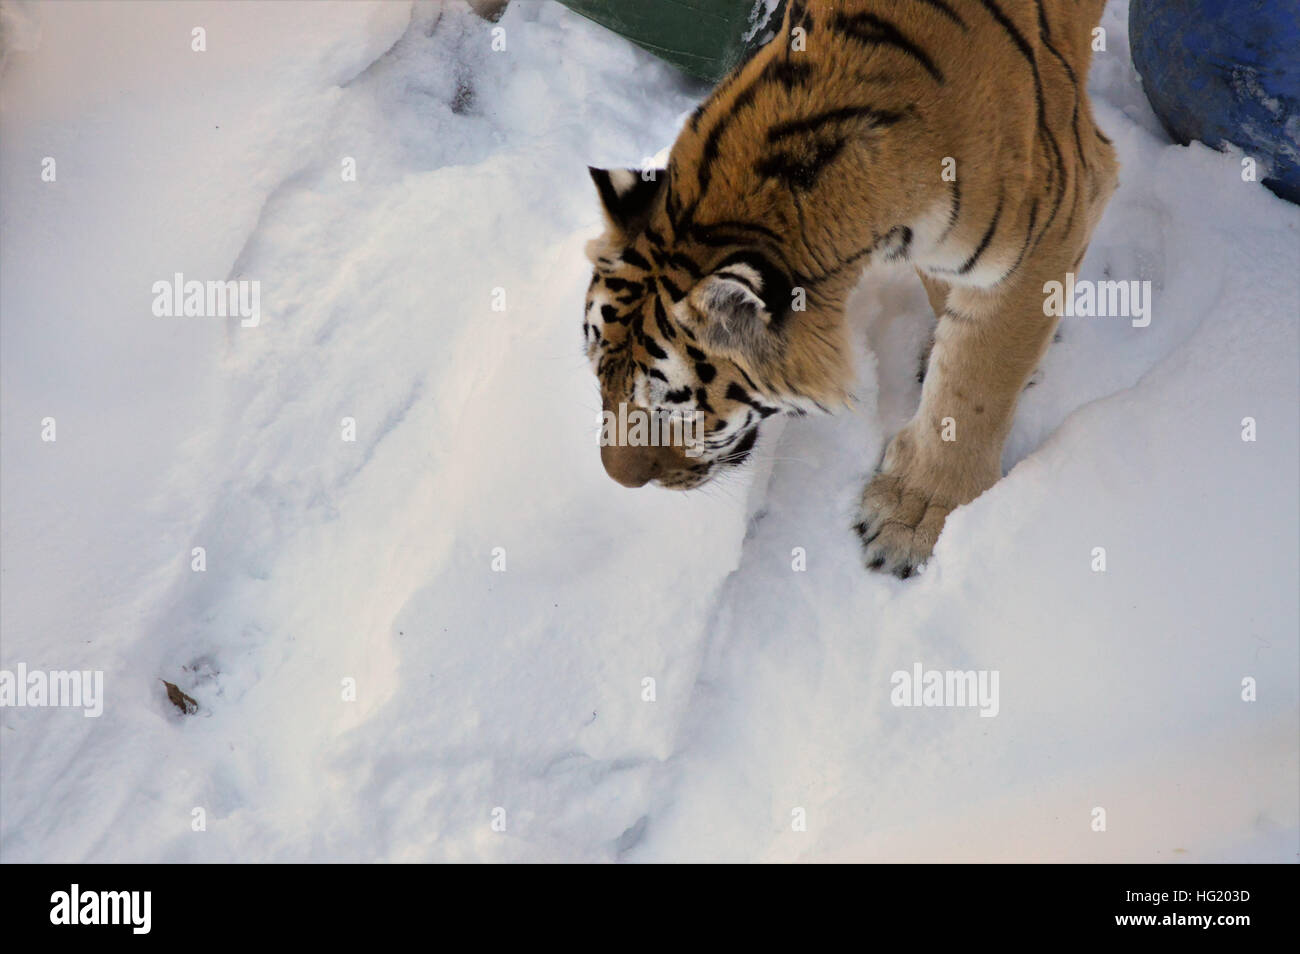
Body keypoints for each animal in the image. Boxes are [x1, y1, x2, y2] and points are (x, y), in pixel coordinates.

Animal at [582, 0, 1118, 577]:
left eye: (676, 411)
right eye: (598, 378)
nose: (616, 479)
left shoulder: (1053, 224)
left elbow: (973, 384)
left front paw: (915, 516)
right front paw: (940, 347)